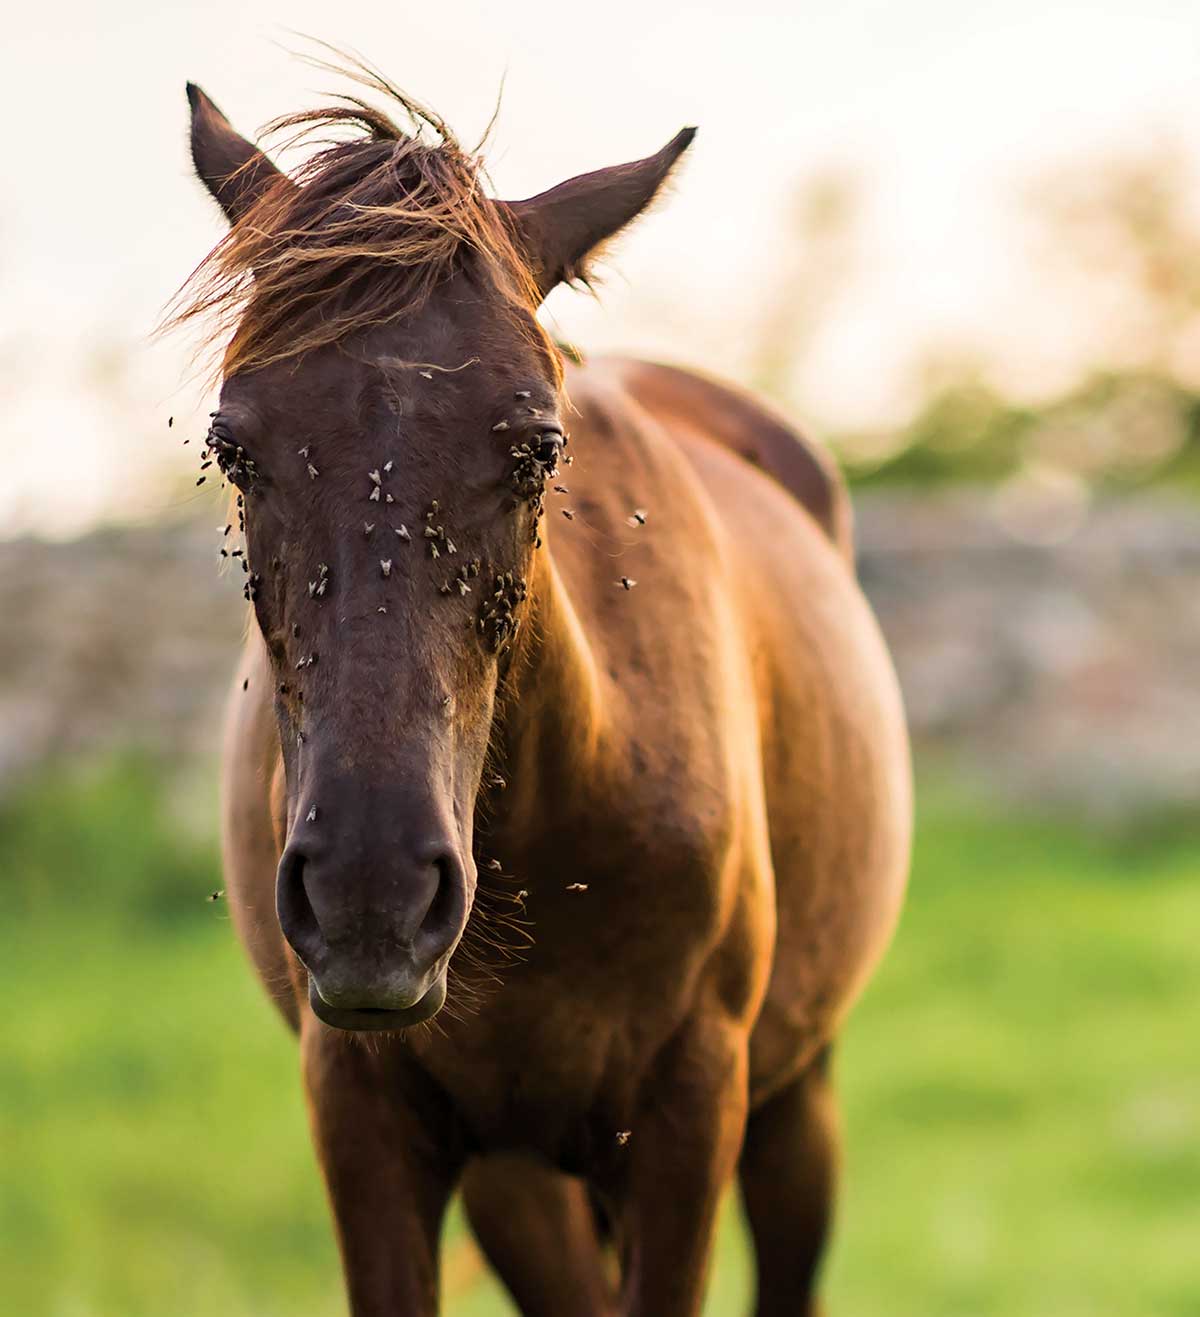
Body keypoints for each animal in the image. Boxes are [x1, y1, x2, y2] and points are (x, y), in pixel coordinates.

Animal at [178, 62, 911, 1317]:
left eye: (538, 446)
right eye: (234, 446)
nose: (371, 896)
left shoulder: (691, 1115)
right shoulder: (369, 1116)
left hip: (793, 1099)